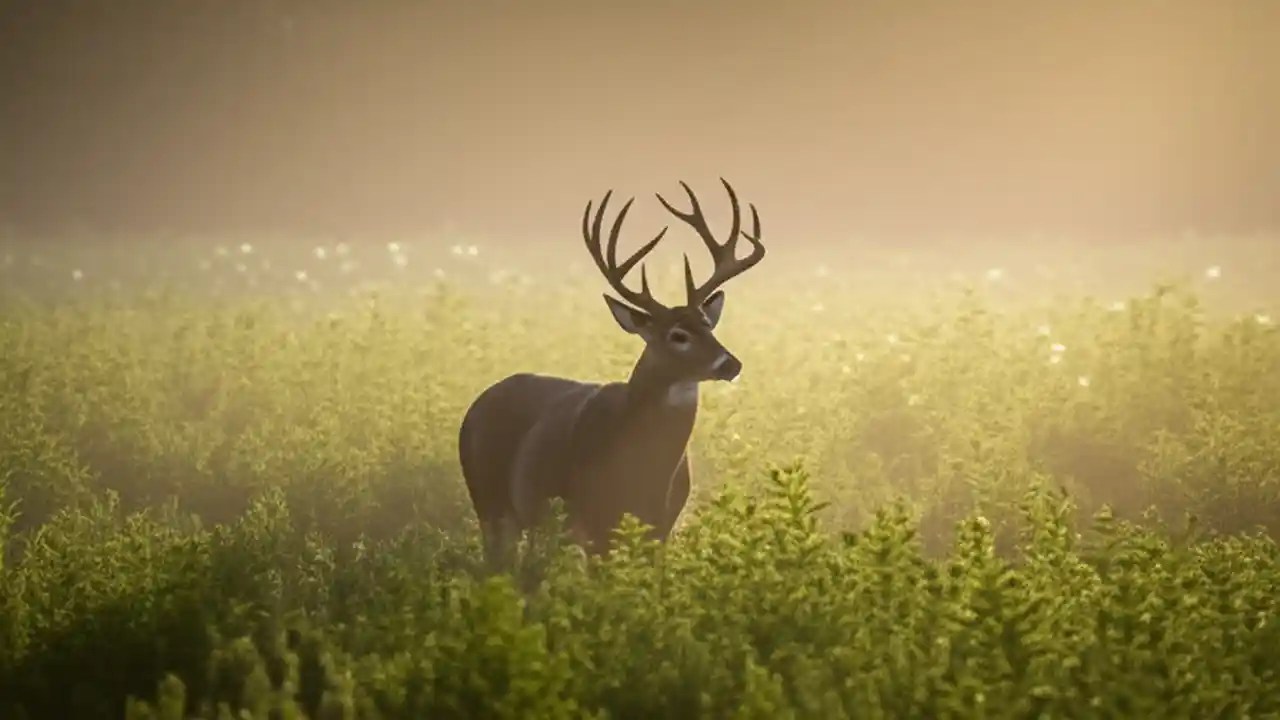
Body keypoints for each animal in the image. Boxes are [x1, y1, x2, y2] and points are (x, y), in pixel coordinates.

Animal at [457, 178, 766, 569]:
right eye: (677, 335)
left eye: (708, 324)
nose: (730, 364)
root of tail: (476, 405)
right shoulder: (593, 526)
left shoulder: (661, 528)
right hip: (489, 501)